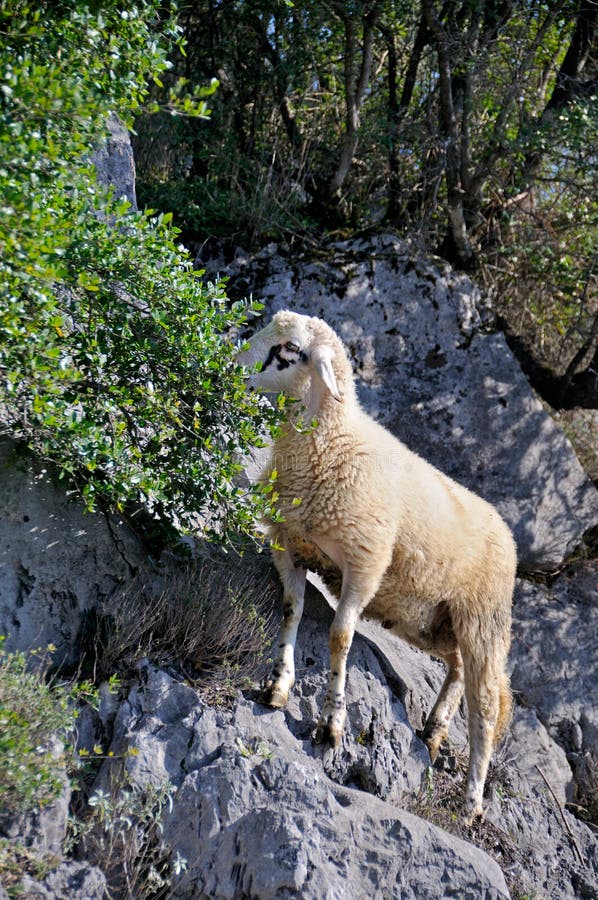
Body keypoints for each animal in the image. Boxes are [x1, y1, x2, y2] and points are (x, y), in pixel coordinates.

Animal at [238, 309, 516, 822]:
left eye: (289, 349)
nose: (233, 366)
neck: (331, 441)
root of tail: (505, 529)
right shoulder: (289, 545)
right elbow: (290, 610)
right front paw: (279, 686)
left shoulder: (365, 566)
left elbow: (339, 637)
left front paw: (332, 724)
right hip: (429, 618)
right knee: (457, 669)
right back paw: (433, 730)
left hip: (483, 619)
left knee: (486, 706)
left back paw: (471, 800)